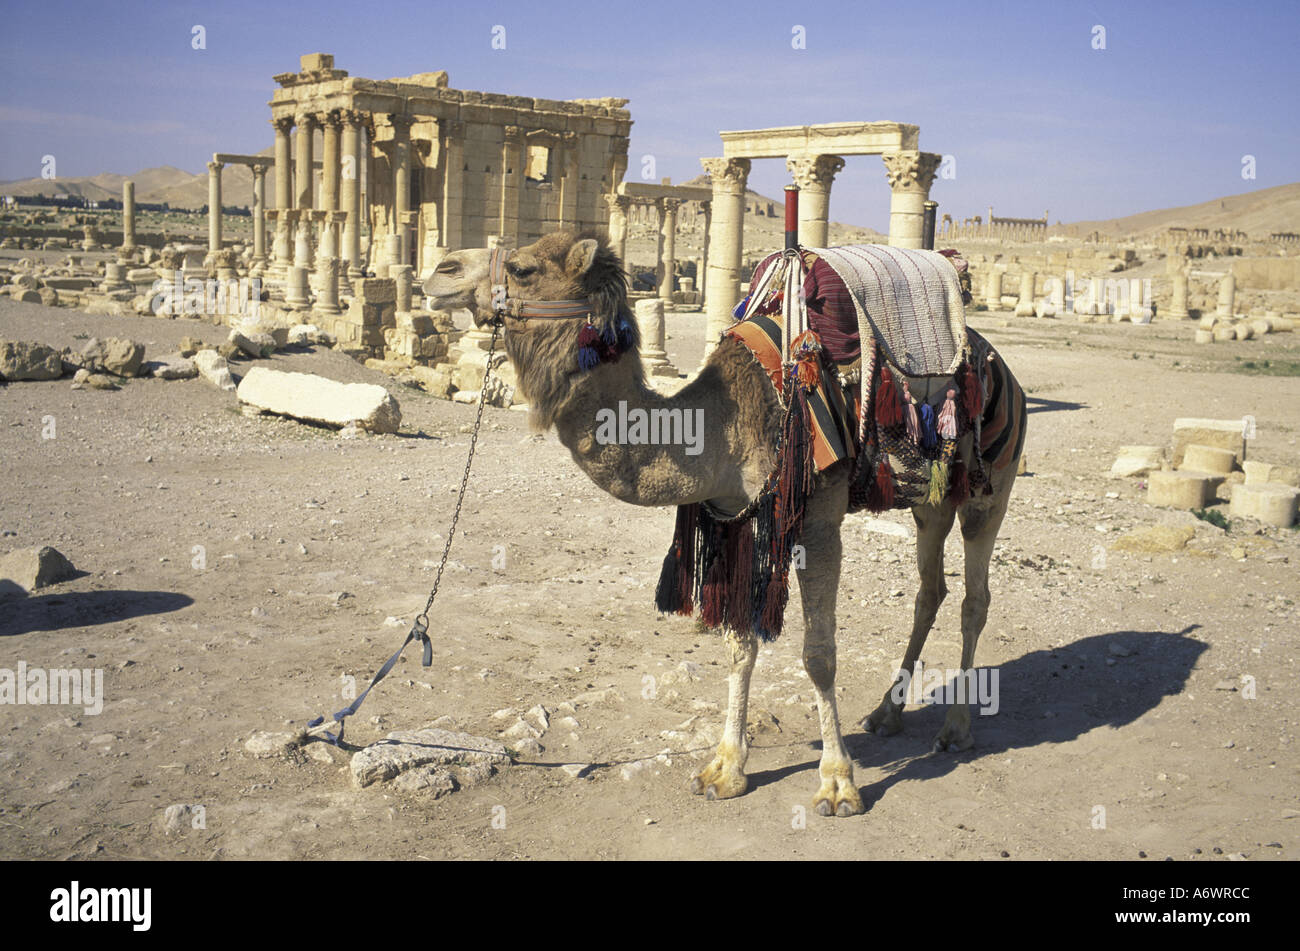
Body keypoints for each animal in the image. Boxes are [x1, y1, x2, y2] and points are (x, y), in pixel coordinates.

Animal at [423, 230, 1024, 818]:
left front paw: (837, 785)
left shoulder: (818, 522)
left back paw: (957, 728)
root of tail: (1001, 366)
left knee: (974, 597)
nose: (440, 270)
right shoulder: (741, 518)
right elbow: (740, 645)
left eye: (522, 268)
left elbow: (819, 655)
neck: (718, 427)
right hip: (931, 500)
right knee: (930, 590)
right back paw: (885, 714)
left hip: (991, 482)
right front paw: (724, 770)